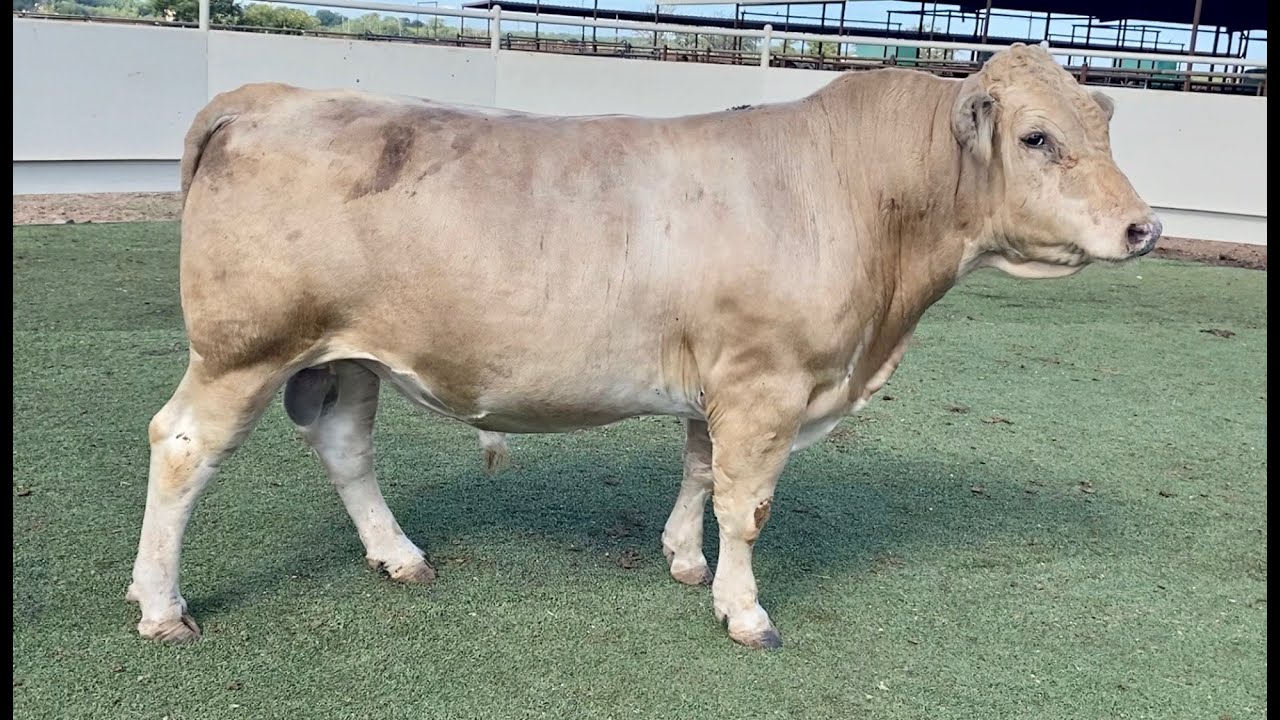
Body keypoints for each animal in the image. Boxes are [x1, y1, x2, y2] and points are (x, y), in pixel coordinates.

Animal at [126, 43, 1162, 650]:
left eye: (1102, 126)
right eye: (1037, 137)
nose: (1144, 228)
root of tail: (267, 93)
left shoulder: (722, 380)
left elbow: (700, 472)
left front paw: (683, 560)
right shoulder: (767, 382)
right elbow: (749, 504)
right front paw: (744, 611)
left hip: (346, 356)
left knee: (344, 448)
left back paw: (400, 555)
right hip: (245, 347)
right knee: (180, 447)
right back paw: (163, 606)